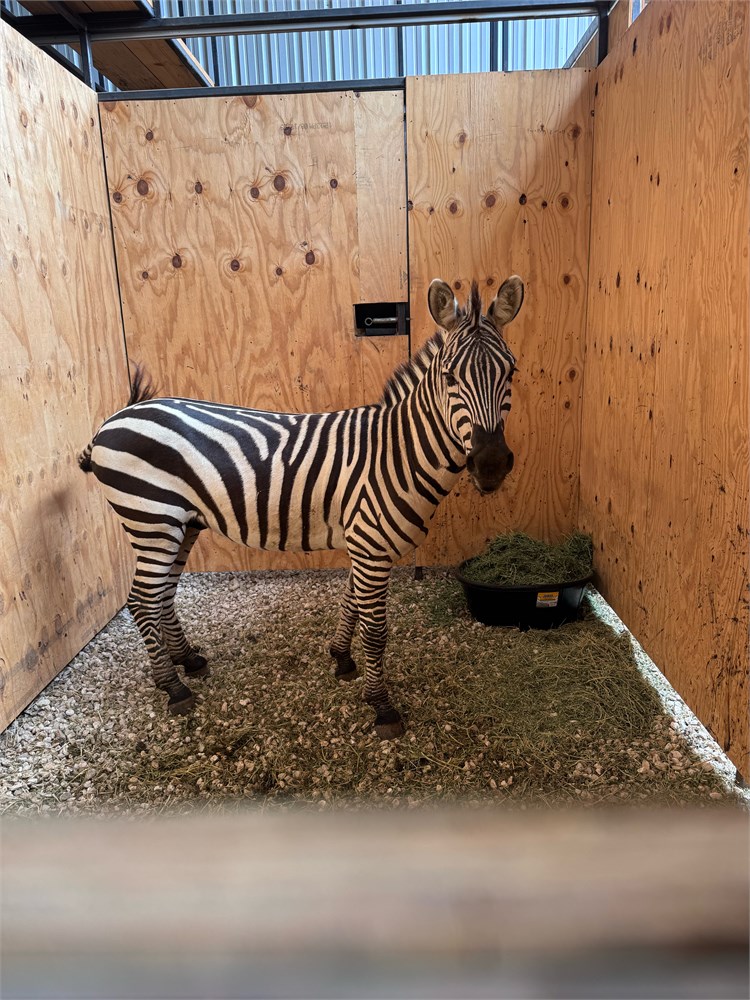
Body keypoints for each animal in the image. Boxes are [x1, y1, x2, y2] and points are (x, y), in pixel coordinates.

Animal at [79, 276, 523, 738]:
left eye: (511, 371)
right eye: (449, 376)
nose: (491, 464)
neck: (397, 452)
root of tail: (116, 417)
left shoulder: (363, 543)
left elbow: (350, 603)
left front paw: (342, 659)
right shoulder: (370, 545)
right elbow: (376, 631)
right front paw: (382, 706)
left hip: (182, 523)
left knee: (162, 593)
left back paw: (188, 660)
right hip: (152, 519)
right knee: (141, 599)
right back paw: (173, 687)